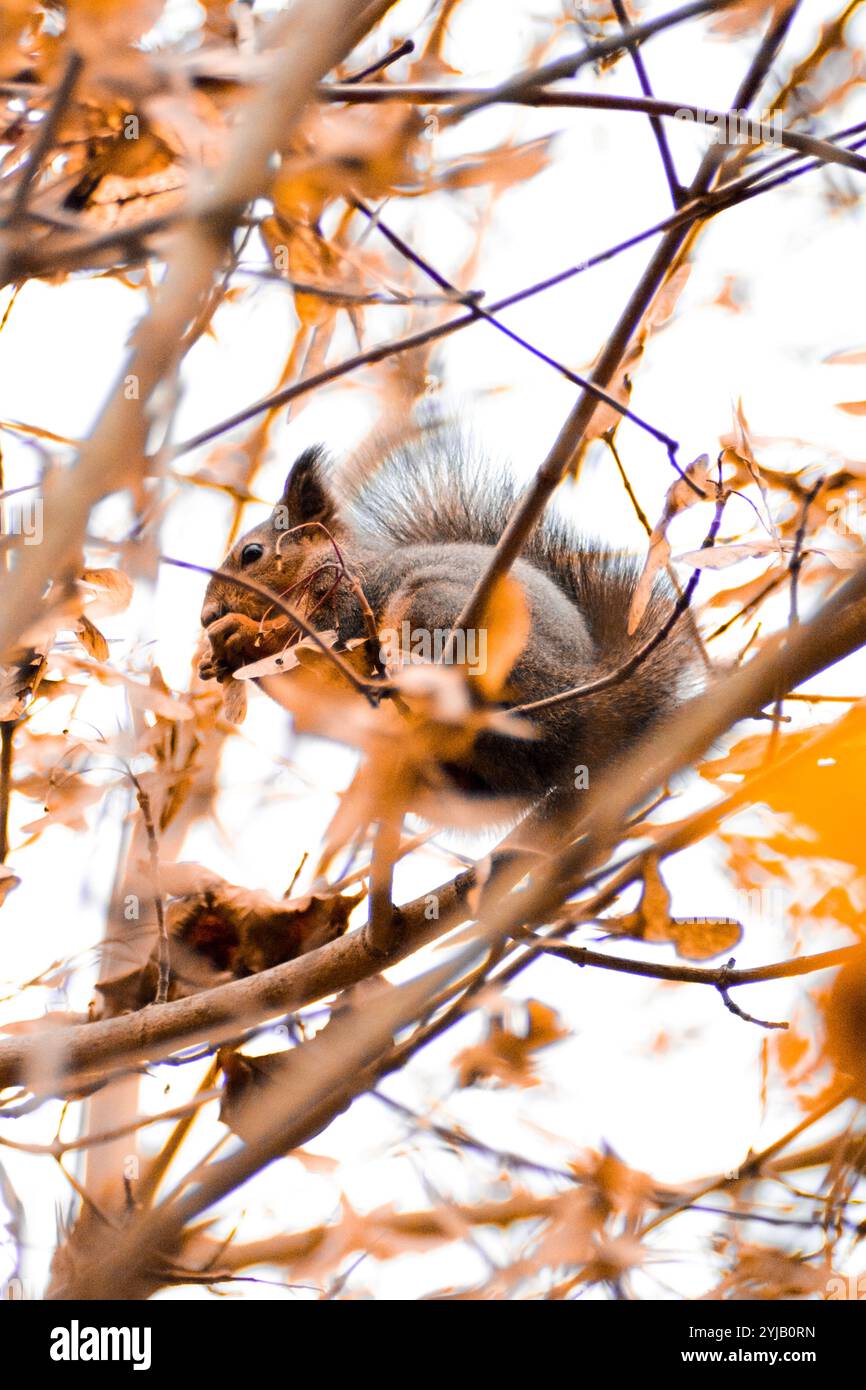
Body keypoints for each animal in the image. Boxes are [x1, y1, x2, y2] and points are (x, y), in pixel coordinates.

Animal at [199, 429, 704, 833]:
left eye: (251, 554)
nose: (206, 615)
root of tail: (586, 694)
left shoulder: (343, 598)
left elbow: (311, 645)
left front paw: (236, 632)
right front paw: (217, 657)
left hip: (439, 608)